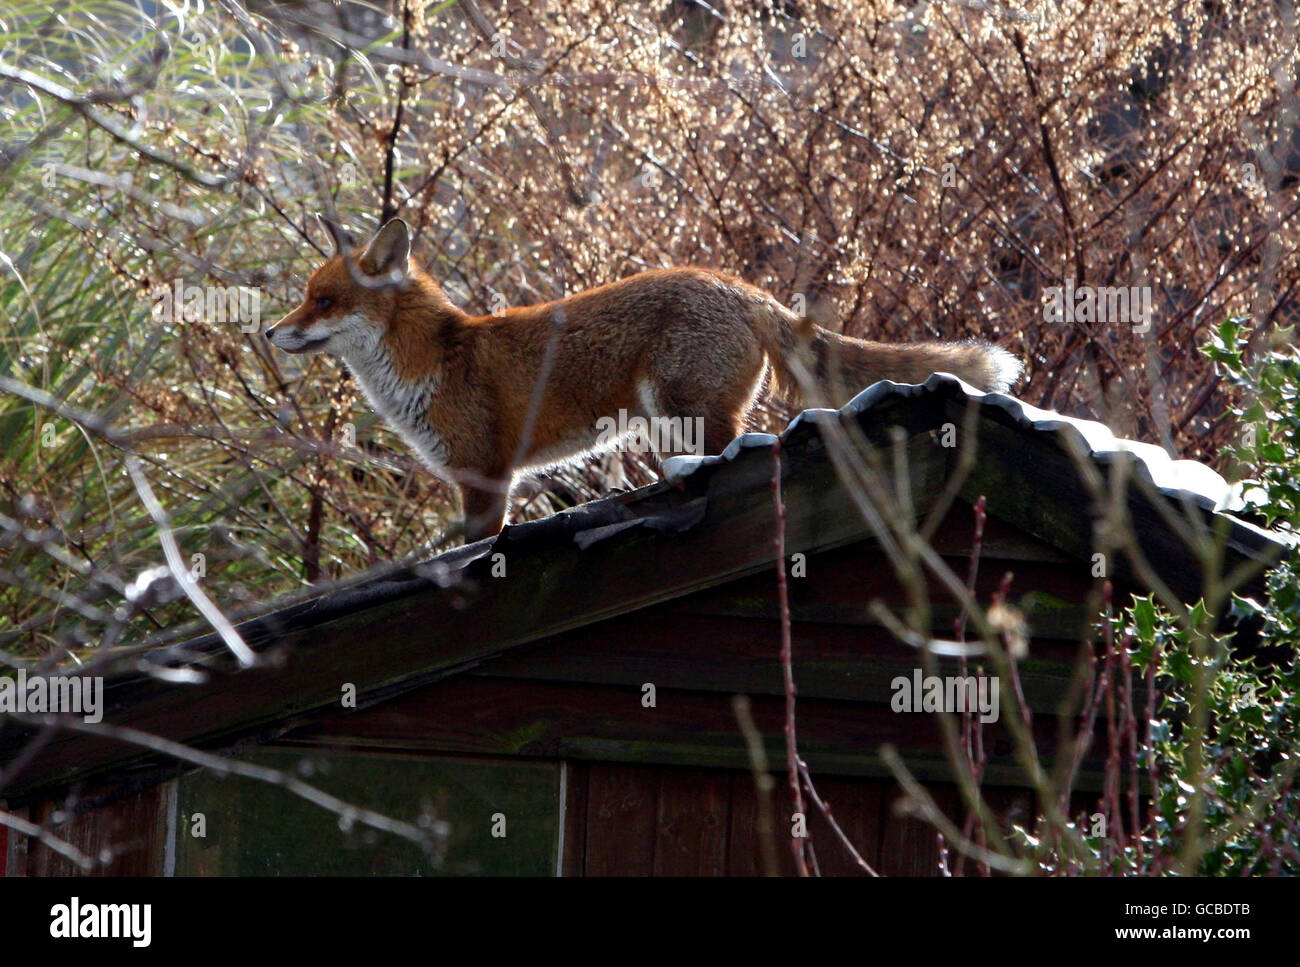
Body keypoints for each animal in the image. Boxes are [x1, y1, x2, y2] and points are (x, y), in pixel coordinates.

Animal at [266, 218, 1021, 542]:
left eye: (323, 301)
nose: (269, 333)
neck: (433, 360)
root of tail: (742, 287)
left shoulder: (485, 477)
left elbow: (479, 547)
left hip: (689, 413)